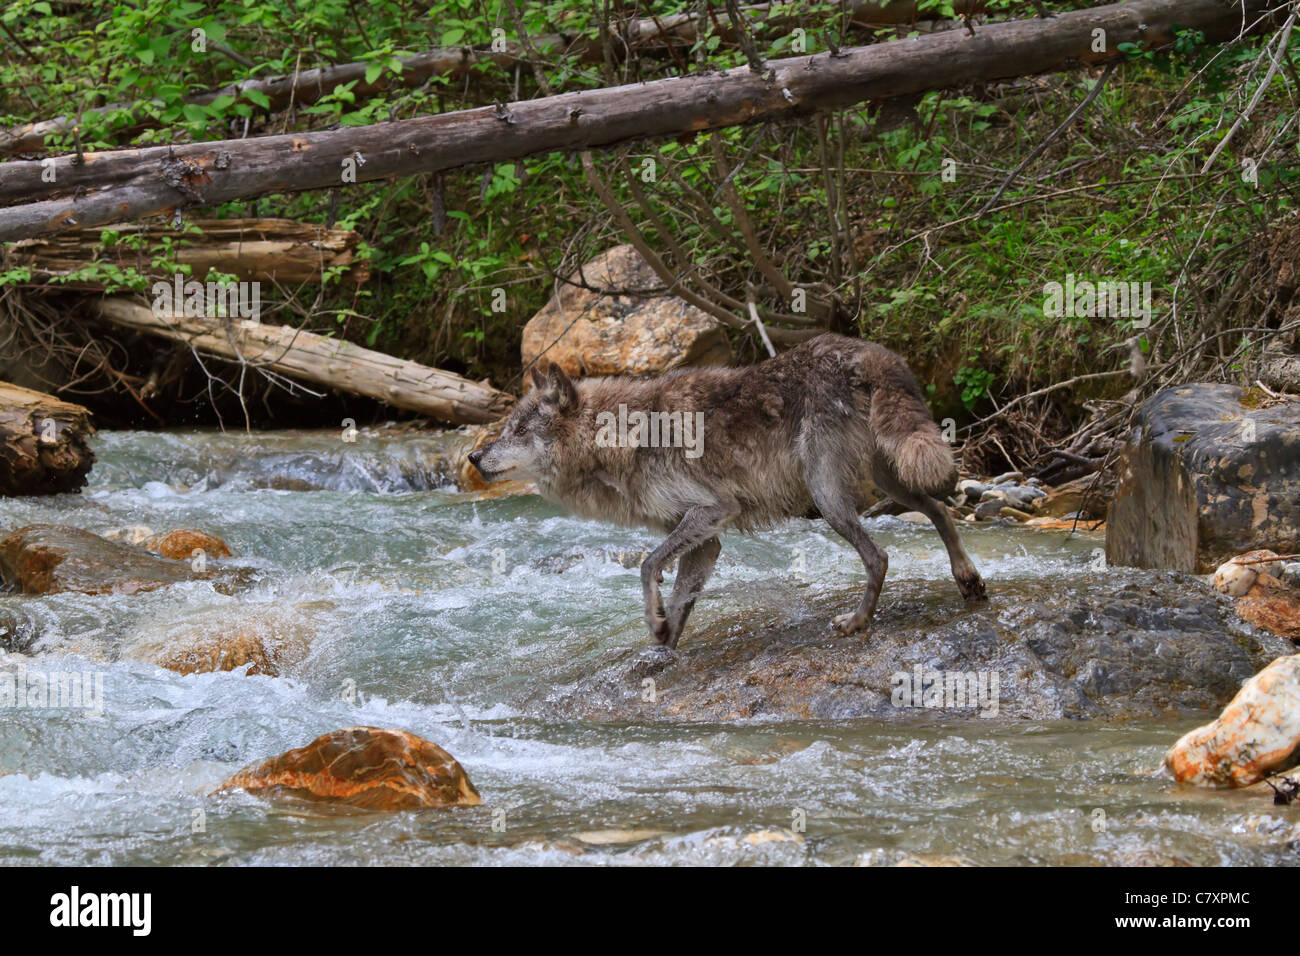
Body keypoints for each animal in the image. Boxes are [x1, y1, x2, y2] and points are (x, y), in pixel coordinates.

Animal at [469, 333, 987, 648]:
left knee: (879, 556)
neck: (619, 437)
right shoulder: (707, 537)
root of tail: (866, 352)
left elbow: (647, 565)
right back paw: (968, 580)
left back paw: (858, 621)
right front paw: (664, 642)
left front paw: (654, 620)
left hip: (828, 496)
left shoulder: (711, 510)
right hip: (890, 476)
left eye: (519, 431)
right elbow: (681, 596)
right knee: (939, 508)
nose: (473, 458)